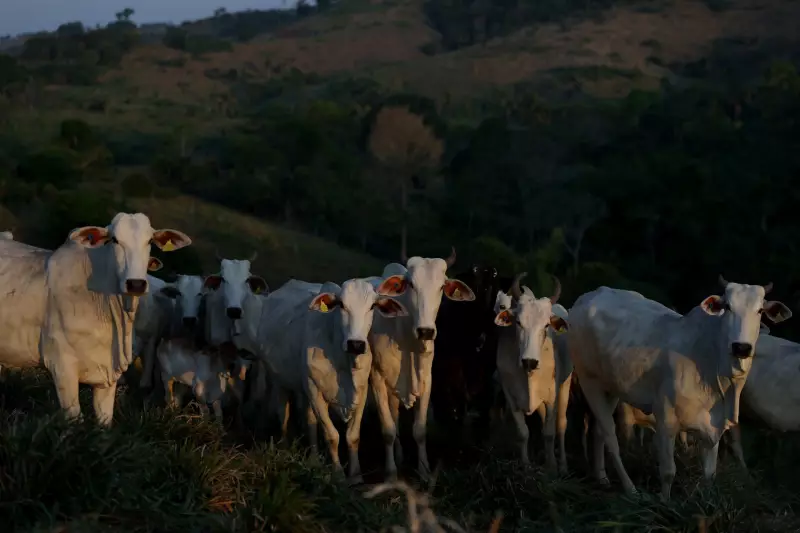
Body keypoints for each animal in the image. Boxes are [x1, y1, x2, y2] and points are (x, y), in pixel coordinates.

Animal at [368, 246, 476, 481]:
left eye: (442, 286)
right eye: (411, 285)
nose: (425, 331)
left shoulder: (427, 381)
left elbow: (419, 430)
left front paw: (425, 470)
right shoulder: (377, 378)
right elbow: (388, 430)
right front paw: (391, 474)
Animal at [492, 273, 572, 472]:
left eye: (546, 325)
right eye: (519, 322)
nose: (530, 361)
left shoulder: (551, 396)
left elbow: (549, 433)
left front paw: (552, 467)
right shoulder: (511, 397)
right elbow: (523, 433)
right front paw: (526, 464)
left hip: (565, 386)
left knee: (561, 425)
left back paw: (563, 465)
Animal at [567, 277, 792, 500]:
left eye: (760, 310)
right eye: (727, 306)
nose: (741, 348)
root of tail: (587, 297)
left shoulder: (713, 430)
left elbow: (709, 474)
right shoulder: (665, 419)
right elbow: (668, 472)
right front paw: (664, 503)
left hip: (611, 387)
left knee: (598, 432)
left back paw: (602, 478)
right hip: (590, 381)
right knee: (609, 435)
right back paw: (630, 489)